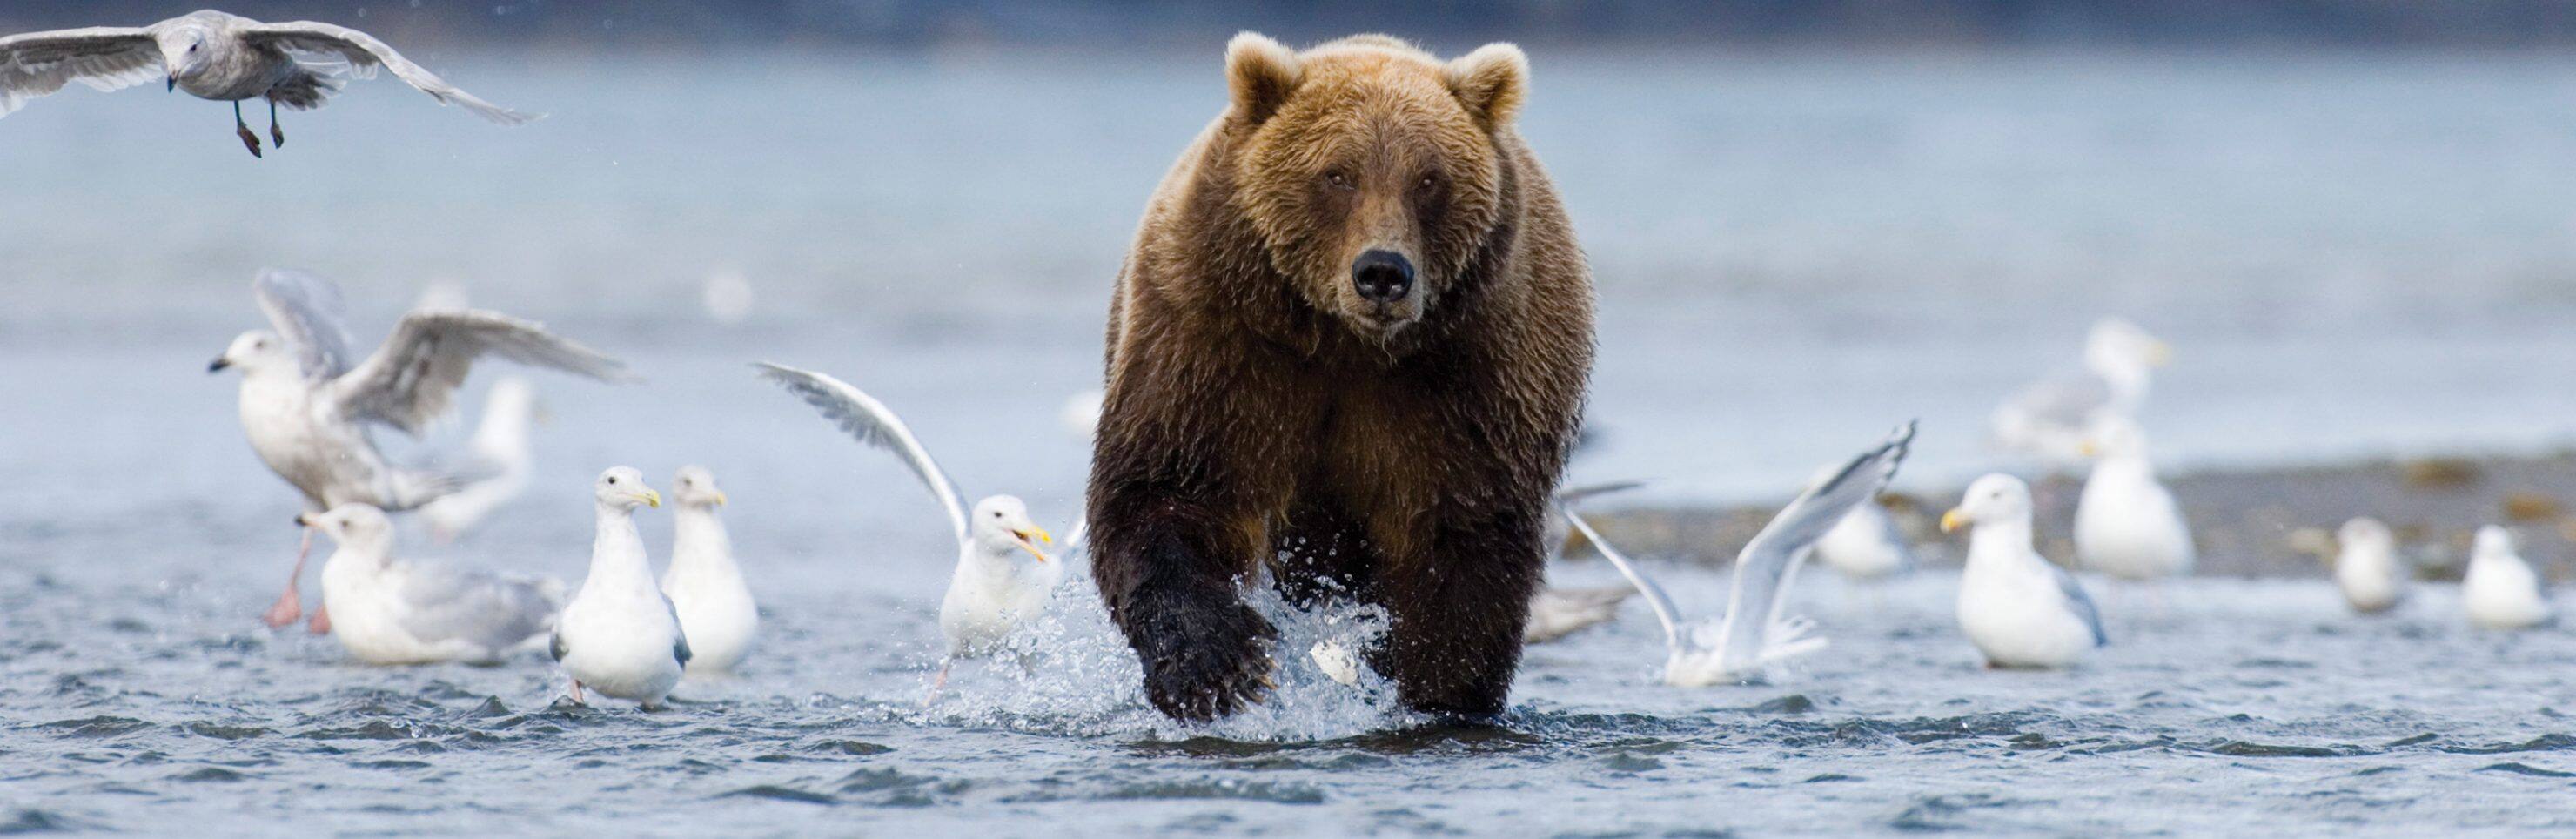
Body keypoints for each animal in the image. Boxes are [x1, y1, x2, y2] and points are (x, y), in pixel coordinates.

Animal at [1086, 32, 1594, 722]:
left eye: (1428, 178)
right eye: (1337, 174)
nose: (1382, 272)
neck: (1343, 342)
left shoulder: (1473, 373)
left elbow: (1460, 535)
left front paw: (1431, 688)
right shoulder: (1218, 339)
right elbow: (1171, 486)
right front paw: (1217, 667)